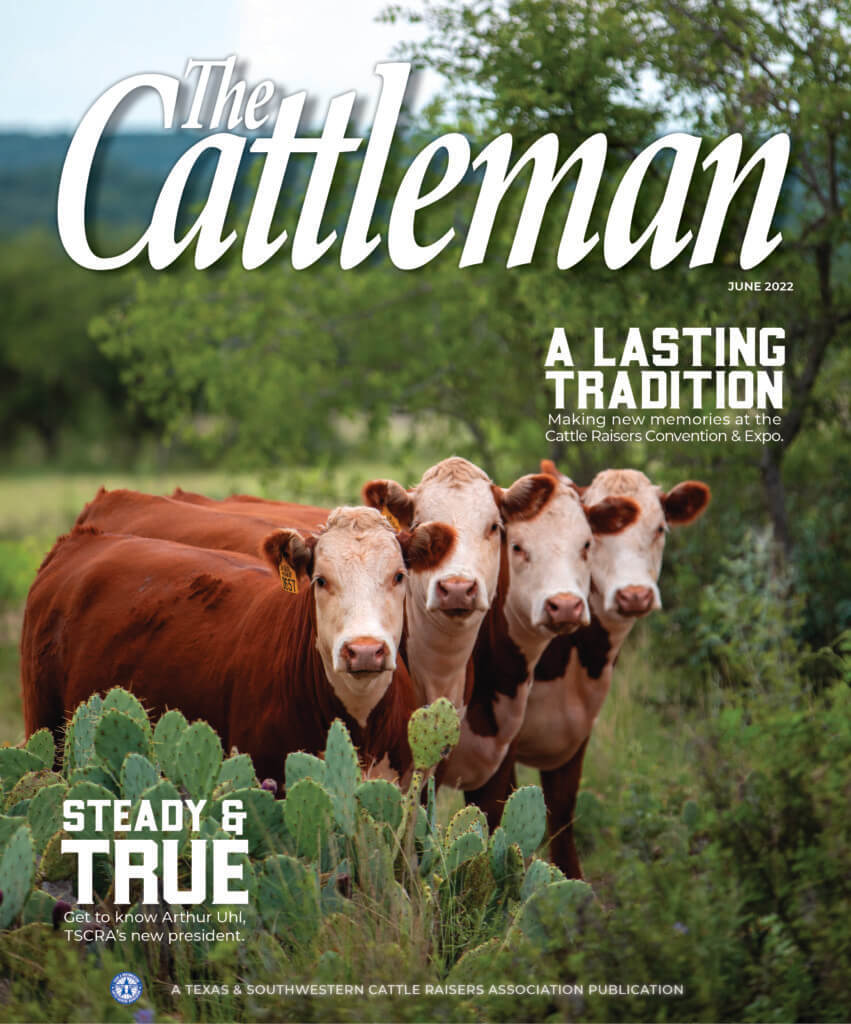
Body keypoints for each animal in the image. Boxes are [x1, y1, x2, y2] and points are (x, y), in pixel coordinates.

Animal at [20, 507, 455, 784]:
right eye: (320, 579)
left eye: (399, 576)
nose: (364, 650)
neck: (359, 726)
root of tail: (79, 541)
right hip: (46, 730)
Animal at [467, 461, 710, 876]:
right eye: (595, 540)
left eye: (660, 529)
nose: (634, 595)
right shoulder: (497, 749)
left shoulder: (575, 739)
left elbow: (562, 827)